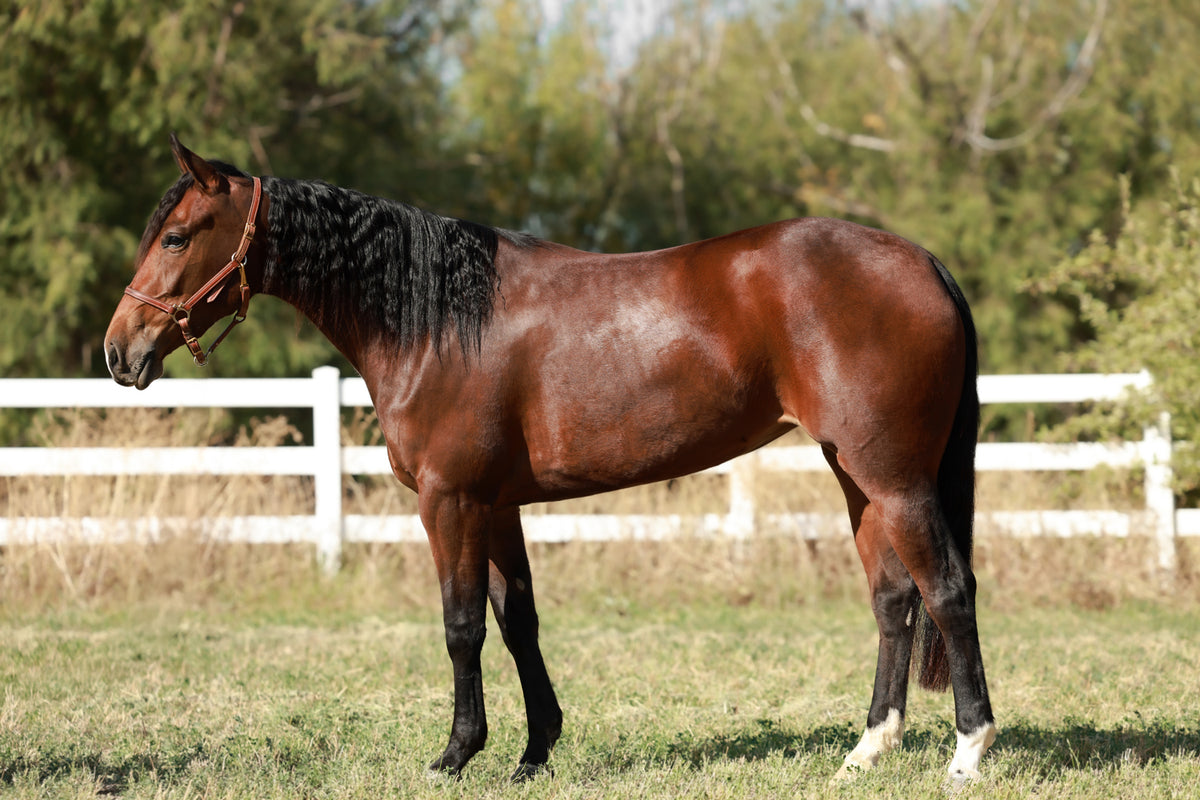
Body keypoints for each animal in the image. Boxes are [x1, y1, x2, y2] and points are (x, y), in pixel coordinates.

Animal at [104, 136, 995, 783]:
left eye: (177, 237)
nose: (119, 352)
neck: (439, 319)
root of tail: (922, 262)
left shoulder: (450, 500)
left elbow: (462, 625)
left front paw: (456, 753)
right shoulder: (497, 505)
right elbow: (517, 621)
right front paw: (535, 753)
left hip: (895, 480)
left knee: (948, 590)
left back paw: (968, 751)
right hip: (858, 477)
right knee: (893, 599)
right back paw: (867, 749)